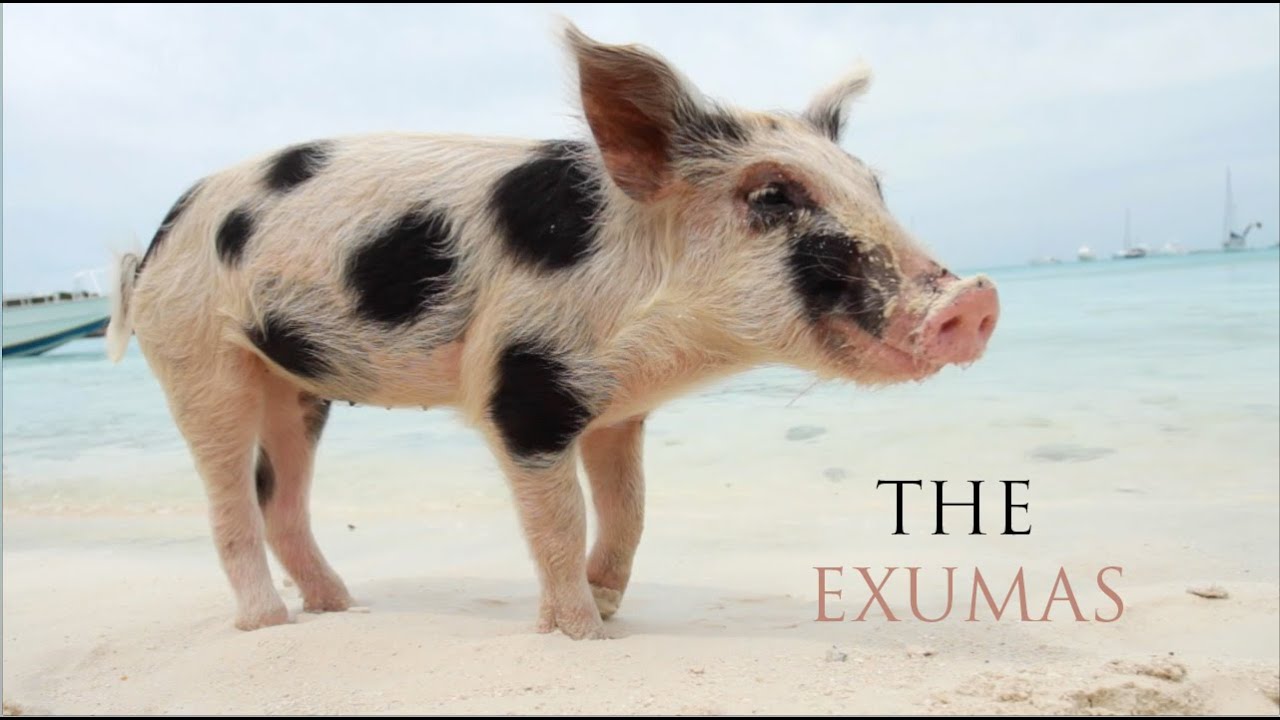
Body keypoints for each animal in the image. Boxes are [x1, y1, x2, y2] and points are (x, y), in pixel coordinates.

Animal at [105, 24, 999, 639]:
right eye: (773, 196)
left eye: (873, 186)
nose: (976, 299)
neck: (657, 347)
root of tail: (155, 243)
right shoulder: (524, 392)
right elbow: (559, 521)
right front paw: (581, 634)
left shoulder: (619, 411)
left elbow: (631, 509)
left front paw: (607, 606)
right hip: (195, 354)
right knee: (229, 498)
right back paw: (269, 625)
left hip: (297, 387)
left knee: (282, 497)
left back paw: (341, 607)